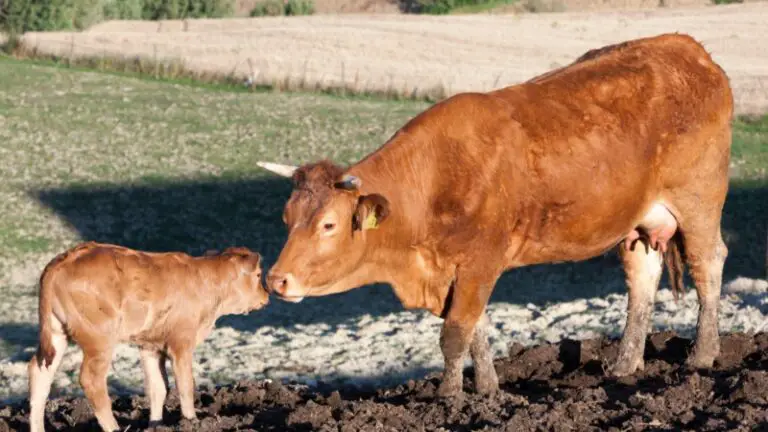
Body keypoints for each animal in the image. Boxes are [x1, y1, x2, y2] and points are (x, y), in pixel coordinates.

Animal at [27, 242, 269, 432]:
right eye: (258, 275)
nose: (266, 296)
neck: (205, 282)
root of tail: (66, 258)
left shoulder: (150, 346)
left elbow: (158, 388)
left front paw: (156, 424)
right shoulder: (181, 343)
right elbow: (185, 386)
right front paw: (192, 421)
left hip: (57, 334)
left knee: (40, 373)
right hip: (99, 340)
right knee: (91, 380)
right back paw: (114, 427)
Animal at [257, 33, 733, 397]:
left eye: (329, 224)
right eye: (286, 218)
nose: (276, 280)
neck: (433, 180)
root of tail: (689, 50)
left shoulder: (480, 260)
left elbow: (454, 335)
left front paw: (449, 398)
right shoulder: (460, 270)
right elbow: (475, 330)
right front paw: (487, 389)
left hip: (699, 200)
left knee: (707, 264)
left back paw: (703, 354)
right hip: (639, 221)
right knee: (642, 278)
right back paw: (625, 364)